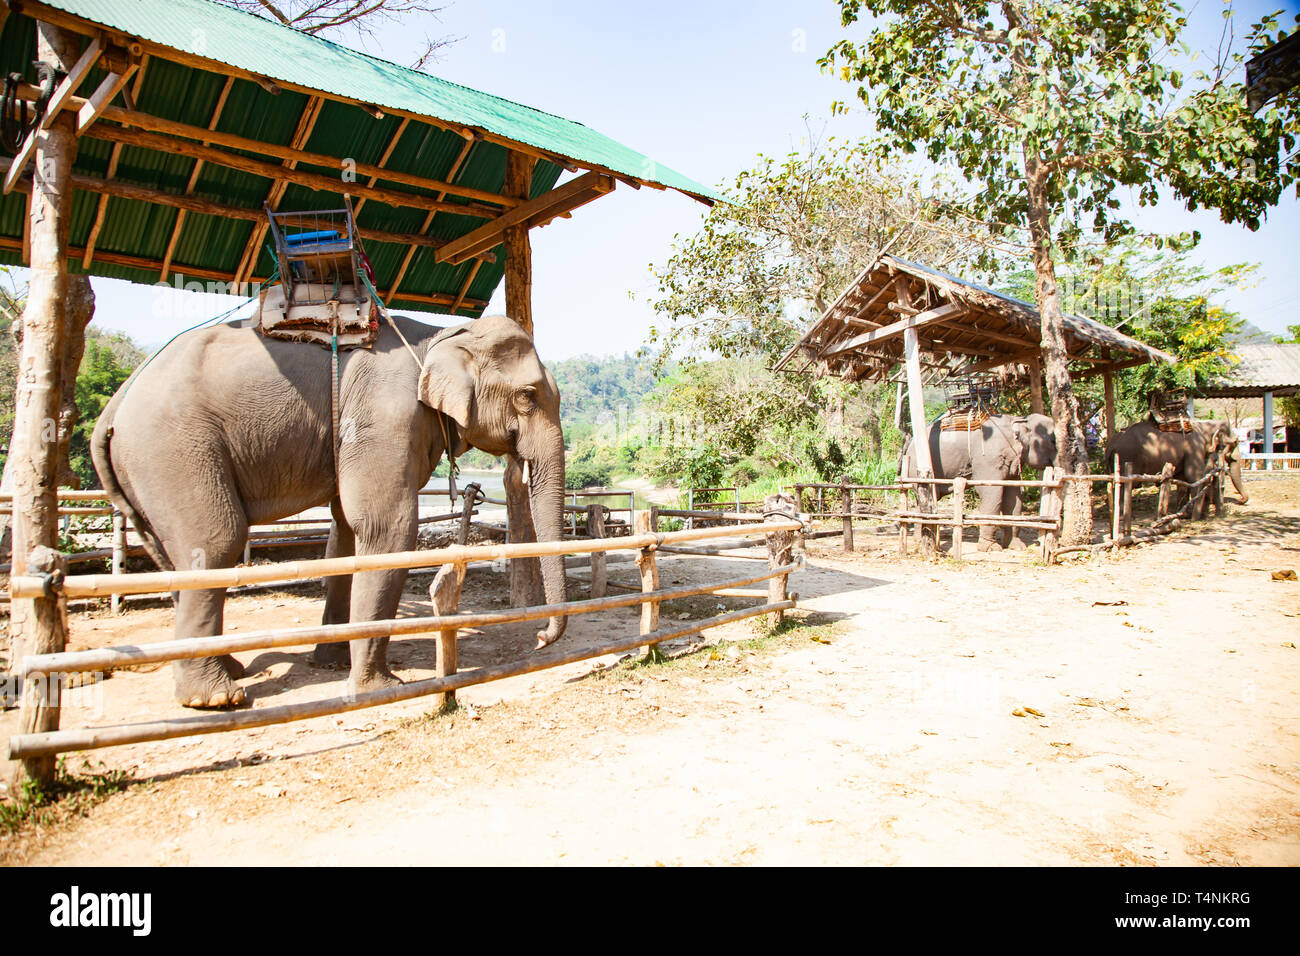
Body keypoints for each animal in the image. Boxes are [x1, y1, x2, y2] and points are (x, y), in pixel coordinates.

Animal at [91, 313, 567, 709]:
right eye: (527, 396)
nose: (539, 639)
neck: (441, 333)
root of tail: (114, 404)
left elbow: (346, 534)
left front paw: (334, 663)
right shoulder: (386, 418)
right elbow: (387, 527)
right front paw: (379, 689)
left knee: (172, 555)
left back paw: (229, 670)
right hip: (174, 450)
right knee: (217, 541)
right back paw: (216, 699)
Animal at [900, 413, 1058, 551]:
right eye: (1053, 441)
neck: (1017, 419)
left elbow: (1014, 497)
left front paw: (1017, 547)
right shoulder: (988, 457)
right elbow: (992, 493)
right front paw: (991, 549)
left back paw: (920, 540)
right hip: (917, 468)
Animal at [1102, 416, 1248, 520]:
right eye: (1235, 443)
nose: (1241, 500)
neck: (1202, 425)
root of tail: (1110, 445)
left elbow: (1183, 479)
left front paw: (1184, 514)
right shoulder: (1195, 447)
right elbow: (1194, 476)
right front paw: (1198, 516)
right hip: (1126, 457)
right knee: (1125, 485)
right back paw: (1123, 516)